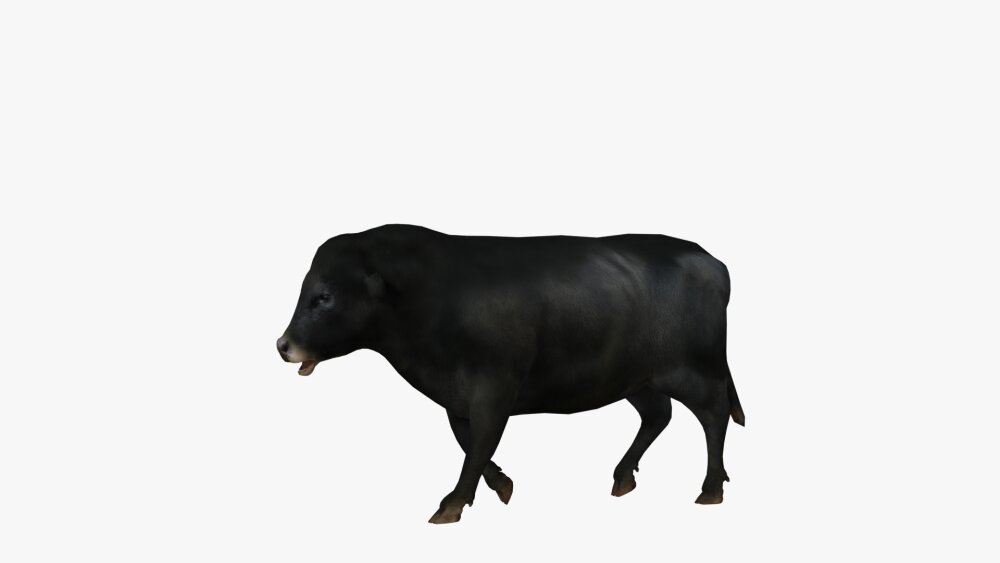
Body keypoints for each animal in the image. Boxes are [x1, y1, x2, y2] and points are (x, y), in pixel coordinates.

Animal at [276, 224, 745, 524]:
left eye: (323, 297)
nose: (283, 345)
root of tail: (710, 259)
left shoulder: (493, 388)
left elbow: (481, 441)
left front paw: (452, 504)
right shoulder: (458, 397)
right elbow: (469, 442)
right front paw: (501, 485)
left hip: (695, 370)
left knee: (714, 414)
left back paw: (710, 489)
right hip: (635, 377)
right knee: (658, 415)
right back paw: (623, 475)